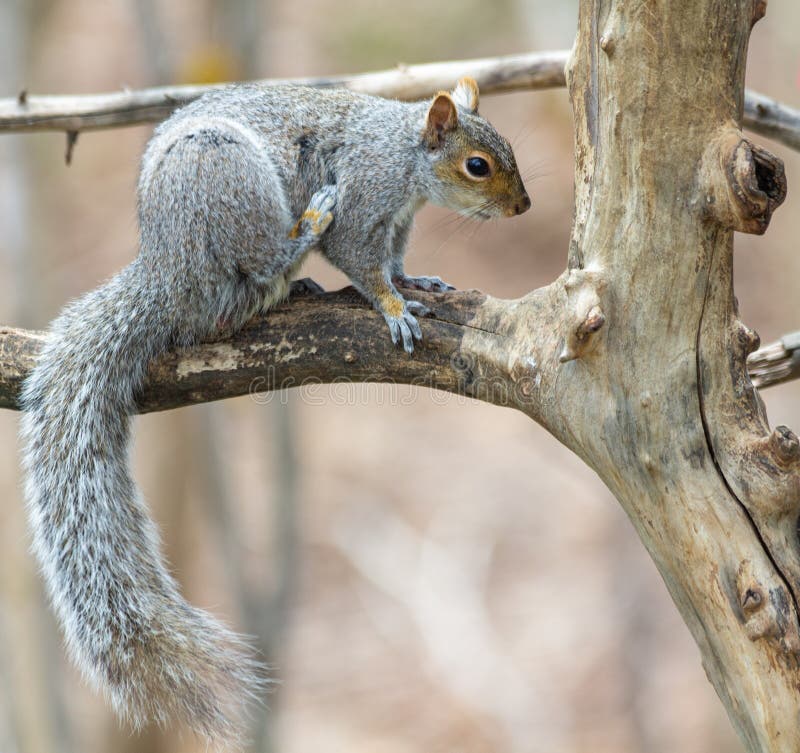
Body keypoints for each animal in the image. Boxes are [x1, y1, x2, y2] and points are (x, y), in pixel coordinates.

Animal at [19, 76, 530, 744]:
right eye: (477, 166)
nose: (522, 207)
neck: (403, 156)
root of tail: (167, 272)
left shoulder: (396, 223)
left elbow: (392, 262)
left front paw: (414, 282)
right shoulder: (365, 198)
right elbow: (361, 261)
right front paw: (393, 307)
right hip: (224, 175)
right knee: (260, 260)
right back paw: (305, 230)